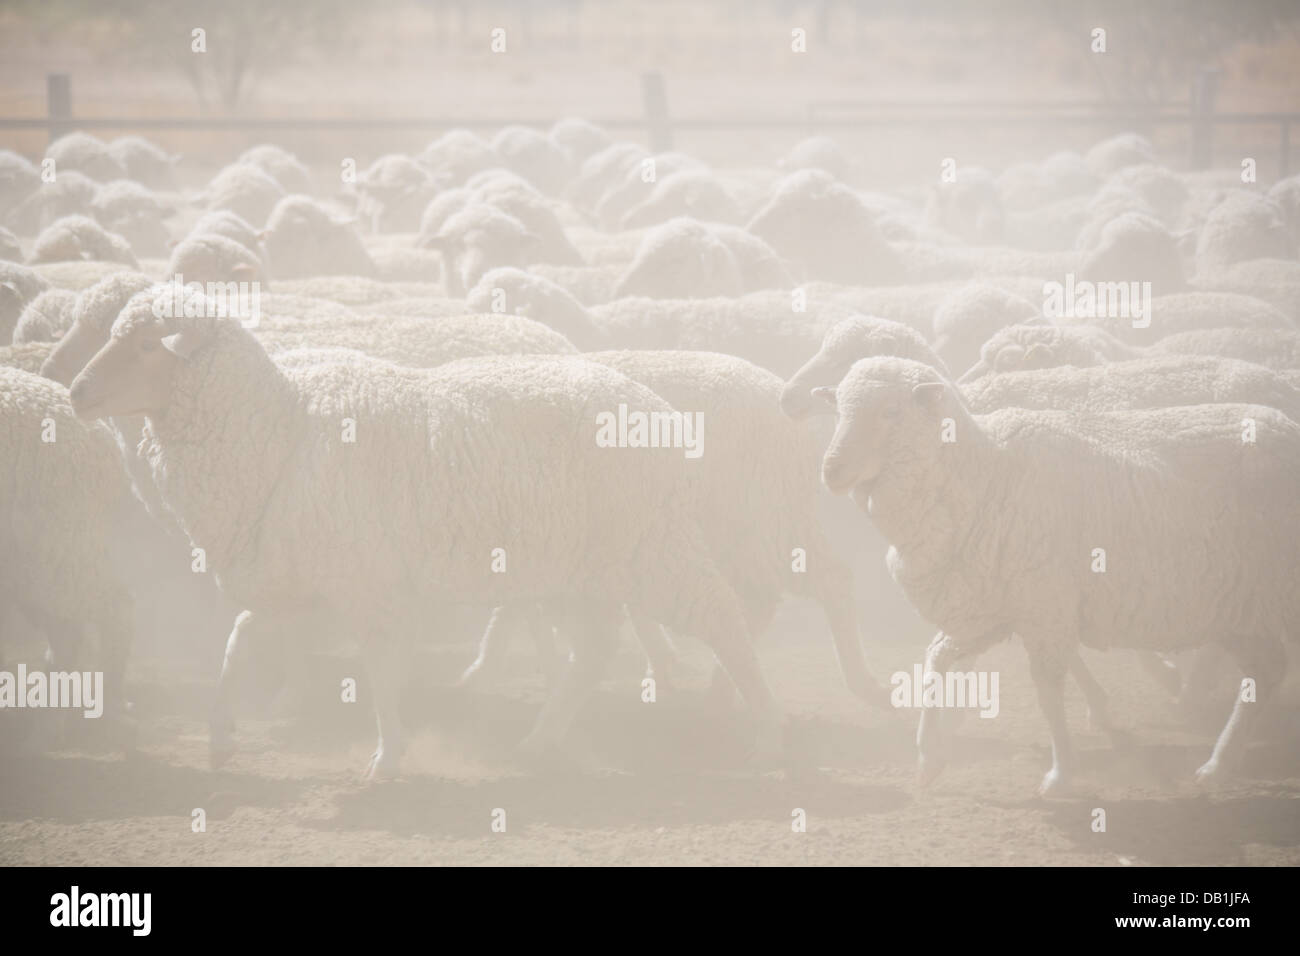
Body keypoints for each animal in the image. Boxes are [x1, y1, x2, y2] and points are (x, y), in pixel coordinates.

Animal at [69, 297, 785, 776]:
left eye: (145, 346)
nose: (75, 392)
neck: (280, 428)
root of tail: (661, 410)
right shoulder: (298, 577)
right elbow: (237, 641)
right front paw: (221, 735)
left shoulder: (370, 586)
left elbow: (382, 673)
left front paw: (389, 756)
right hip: (576, 563)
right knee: (594, 652)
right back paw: (543, 739)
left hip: (649, 546)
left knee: (722, 617)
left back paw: (761, 725)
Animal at [816, 355, 1300, 791]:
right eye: (838, 409)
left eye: (890, 412)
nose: (831, 469)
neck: (984, 474)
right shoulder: (988, 610)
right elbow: (937, 661)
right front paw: (929, 758)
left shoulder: (1042, 606)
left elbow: (1047, 693)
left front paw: (1061, 773)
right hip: (1235, 603)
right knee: (1267, 671)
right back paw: (1218, 766)